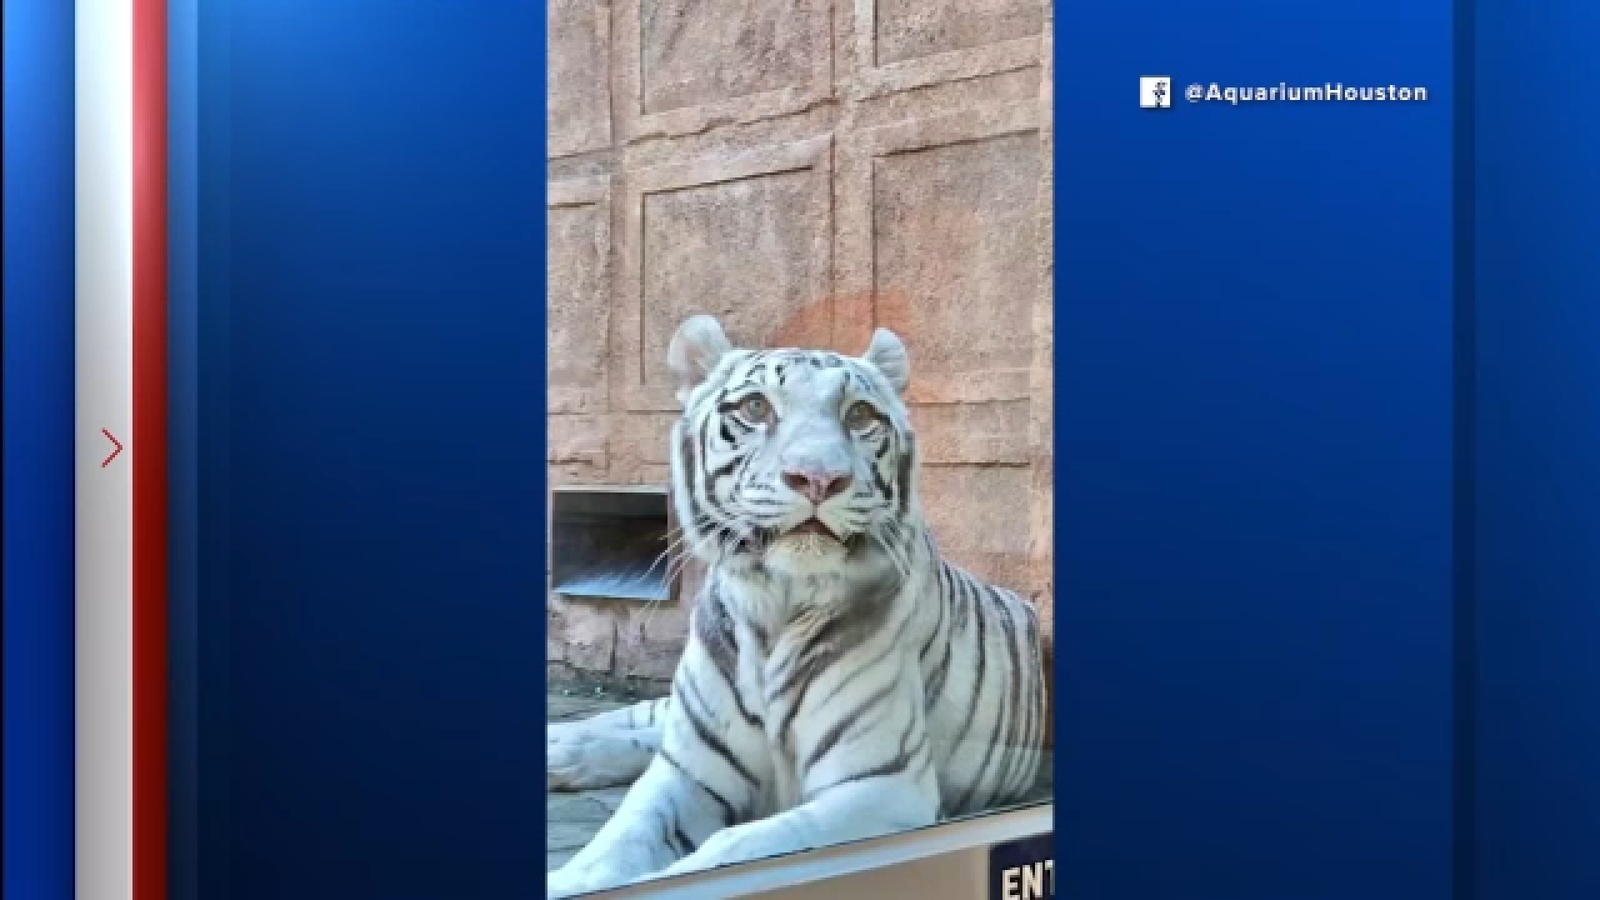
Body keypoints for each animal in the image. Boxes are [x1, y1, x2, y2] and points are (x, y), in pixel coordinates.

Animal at [546, 315, 1047, 897]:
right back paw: (559, 746)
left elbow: (732, 850)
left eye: (859, 415)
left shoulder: (882, 787)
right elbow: (618, 841)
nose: (819, 478)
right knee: (646, 717)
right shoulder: (687, 772)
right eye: (755, 407)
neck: (775, 604)